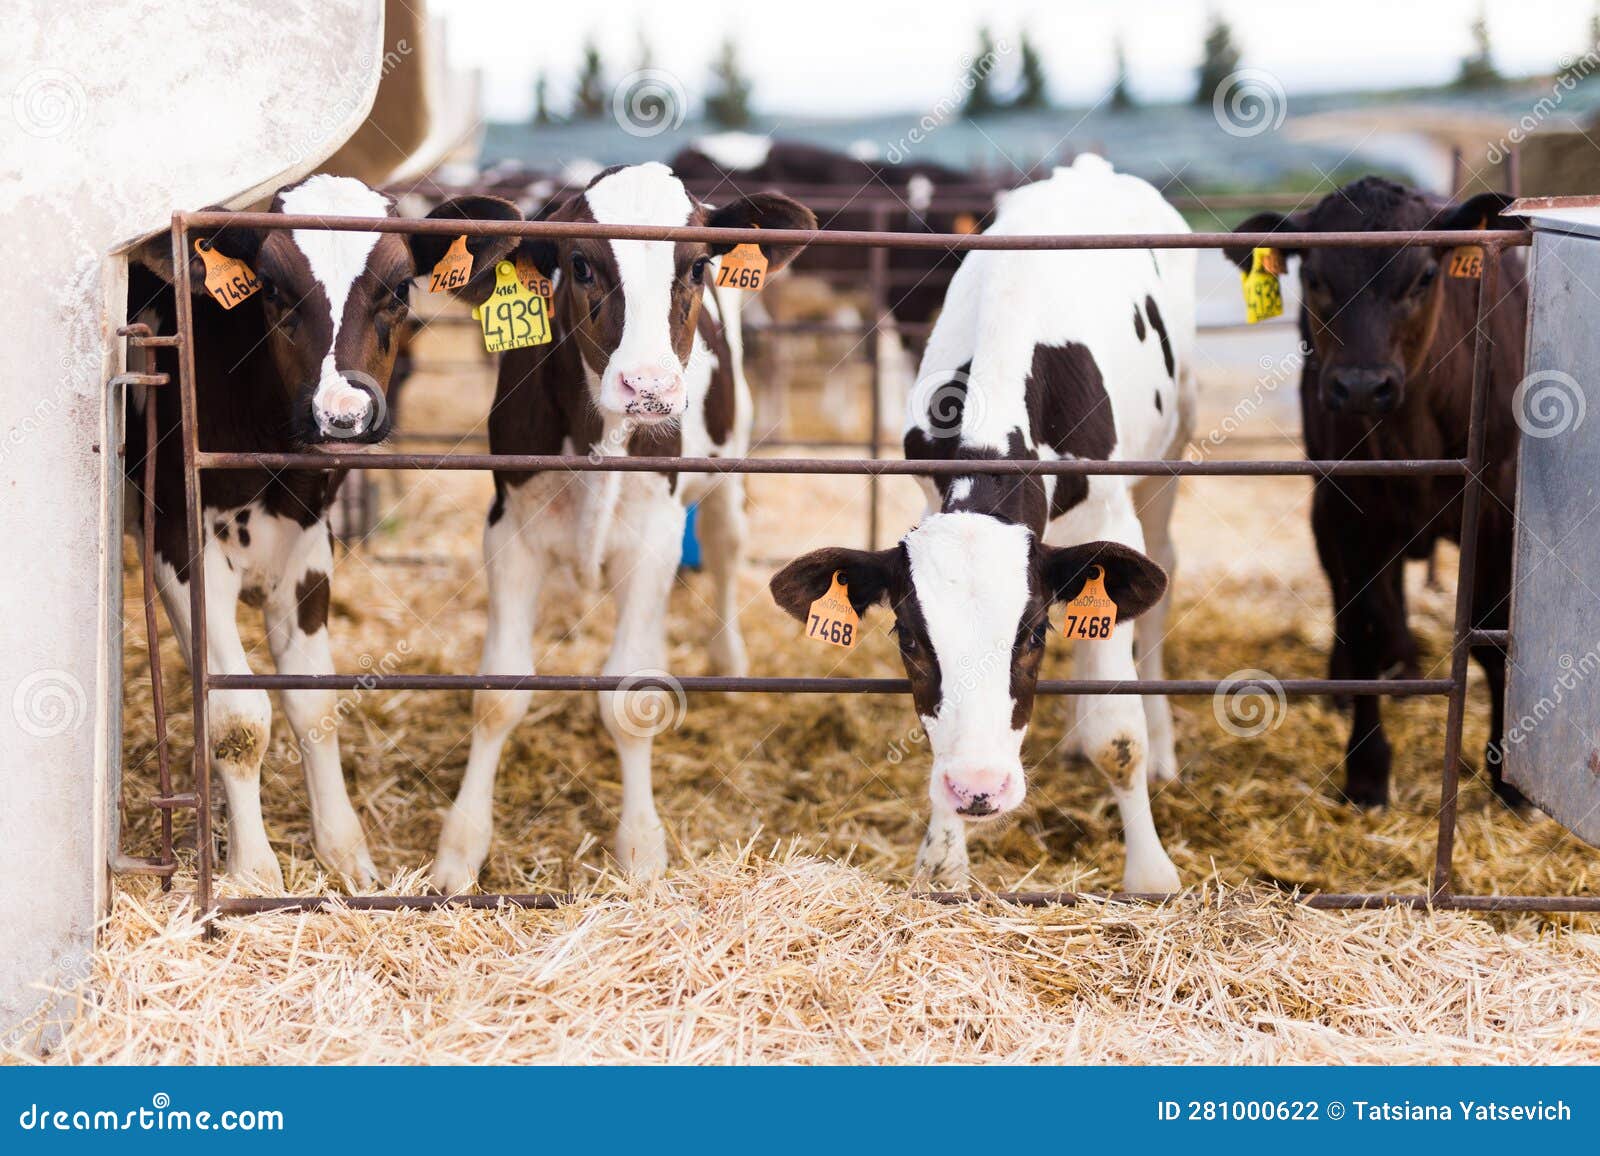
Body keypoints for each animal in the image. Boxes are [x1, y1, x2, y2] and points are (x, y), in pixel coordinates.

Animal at [128, 175, 521, 888]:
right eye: (272, 289)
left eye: (398, 290)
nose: (343, 416)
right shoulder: (178, 545)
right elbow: (238, 717)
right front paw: (253, 871)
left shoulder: (309, 549)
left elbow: (313, 705)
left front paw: (343, 851)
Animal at [430, 162, 816, 893]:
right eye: (580, 264)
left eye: (696, 267)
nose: (650, 388)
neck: (600, 438)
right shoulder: (509, 531)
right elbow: (498, 693)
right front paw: (458, 852)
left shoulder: (653, 538)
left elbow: (630, 696)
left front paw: (640, 850)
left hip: (727, 474)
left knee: (724, 553)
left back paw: (727, 659)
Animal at [770, 156, 1194, 893]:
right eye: (910, 640)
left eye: (1031, 636)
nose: (978, 789)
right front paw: (942, 860)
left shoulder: (1113, 509)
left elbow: (1119, 732)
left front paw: (1149, 873)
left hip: (1168, 455)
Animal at [1227, 177, 1527, 809]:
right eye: (1316, 277)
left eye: (1424, 276)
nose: (1363, 386)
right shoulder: (1348, 506)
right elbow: (1365, 624)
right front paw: (1366, 771)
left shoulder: (1500, 506)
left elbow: (1493, 635)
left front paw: (1506, 776)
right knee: (1357, 600)